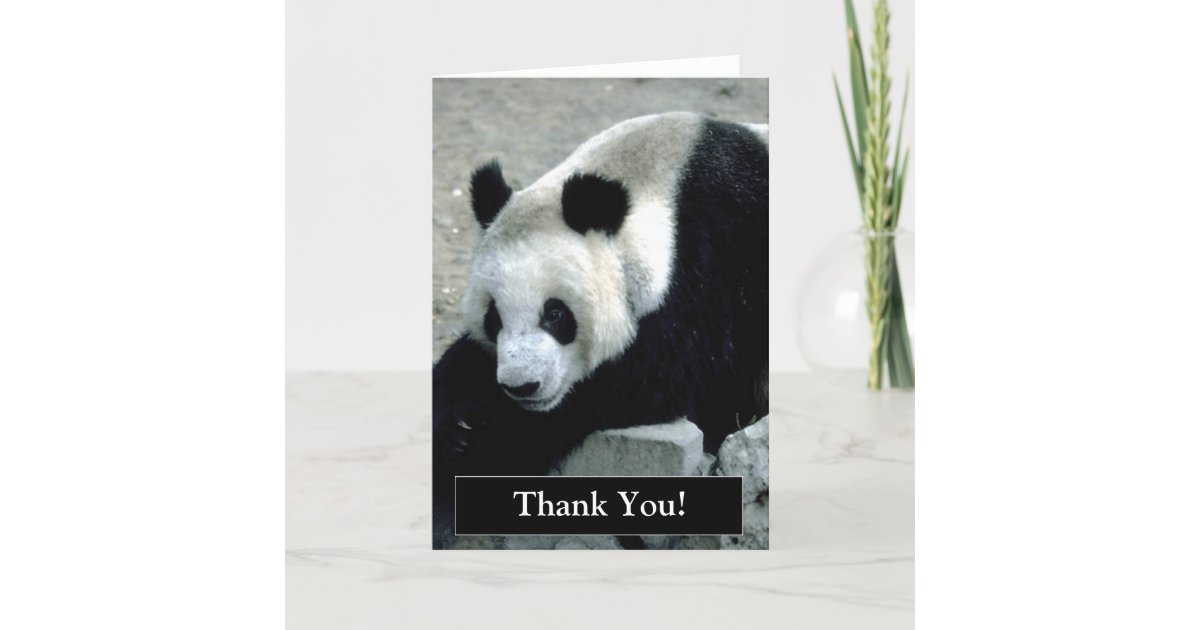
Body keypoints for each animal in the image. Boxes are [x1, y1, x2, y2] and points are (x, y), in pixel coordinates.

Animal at [433, 112, 768, 499]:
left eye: (555, 314)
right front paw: (454, 418)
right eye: (493, 317)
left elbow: (641, 380)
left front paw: (480, 441)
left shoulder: (711, 263)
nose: (522, 387)